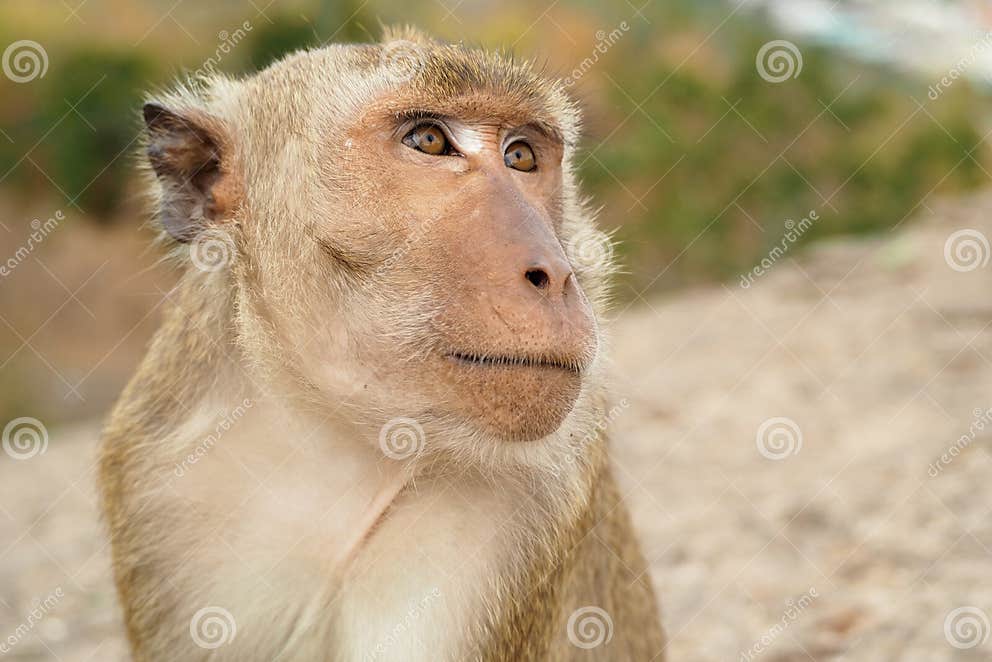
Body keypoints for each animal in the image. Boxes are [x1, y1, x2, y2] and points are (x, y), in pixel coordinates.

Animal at [98, 26, 665, 662]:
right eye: (430, 140)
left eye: (521, 155)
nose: (557, 272)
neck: (333, 437)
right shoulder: (161, 488)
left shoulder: (512, 518)